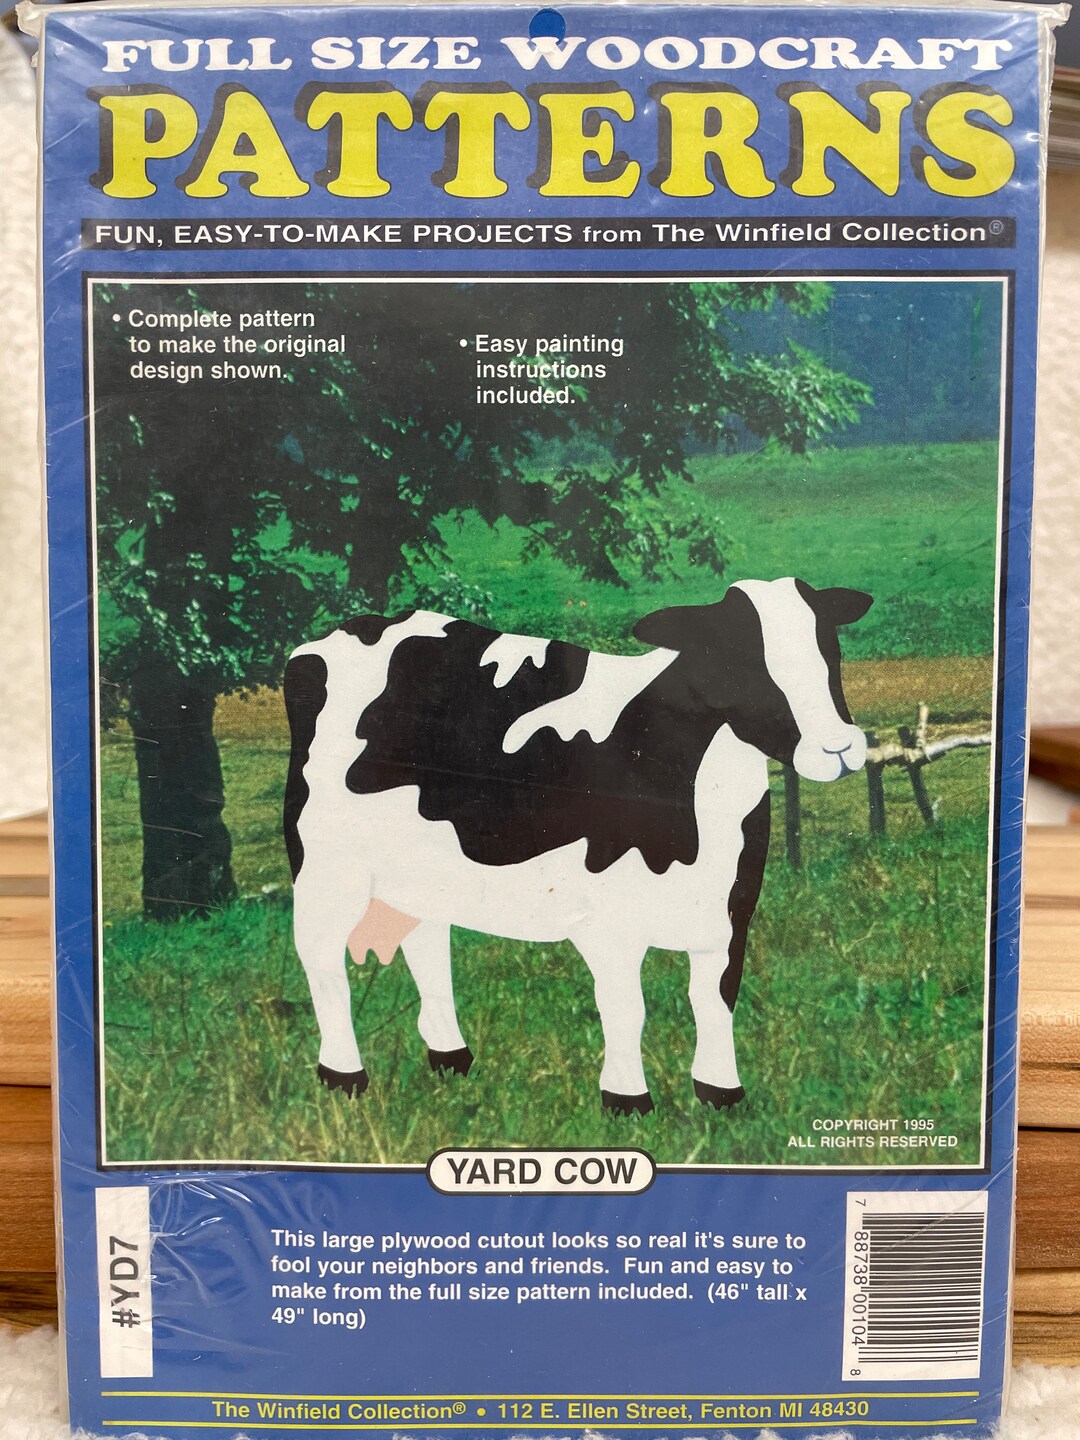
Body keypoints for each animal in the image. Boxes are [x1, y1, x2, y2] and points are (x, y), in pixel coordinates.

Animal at [283, 578, 872, 1115]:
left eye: (830, 649)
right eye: (738, 660)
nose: (839, 747)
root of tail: (346, 631)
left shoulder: (732, 909)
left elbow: (715, 999)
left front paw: (721, 1095)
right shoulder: (609, 922)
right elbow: (626, 1007)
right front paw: (628, 1100)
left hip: (420, 870)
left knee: (426, 945)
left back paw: (451, 1059)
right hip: (326, 867)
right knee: (321, 960)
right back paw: (344, 1075)